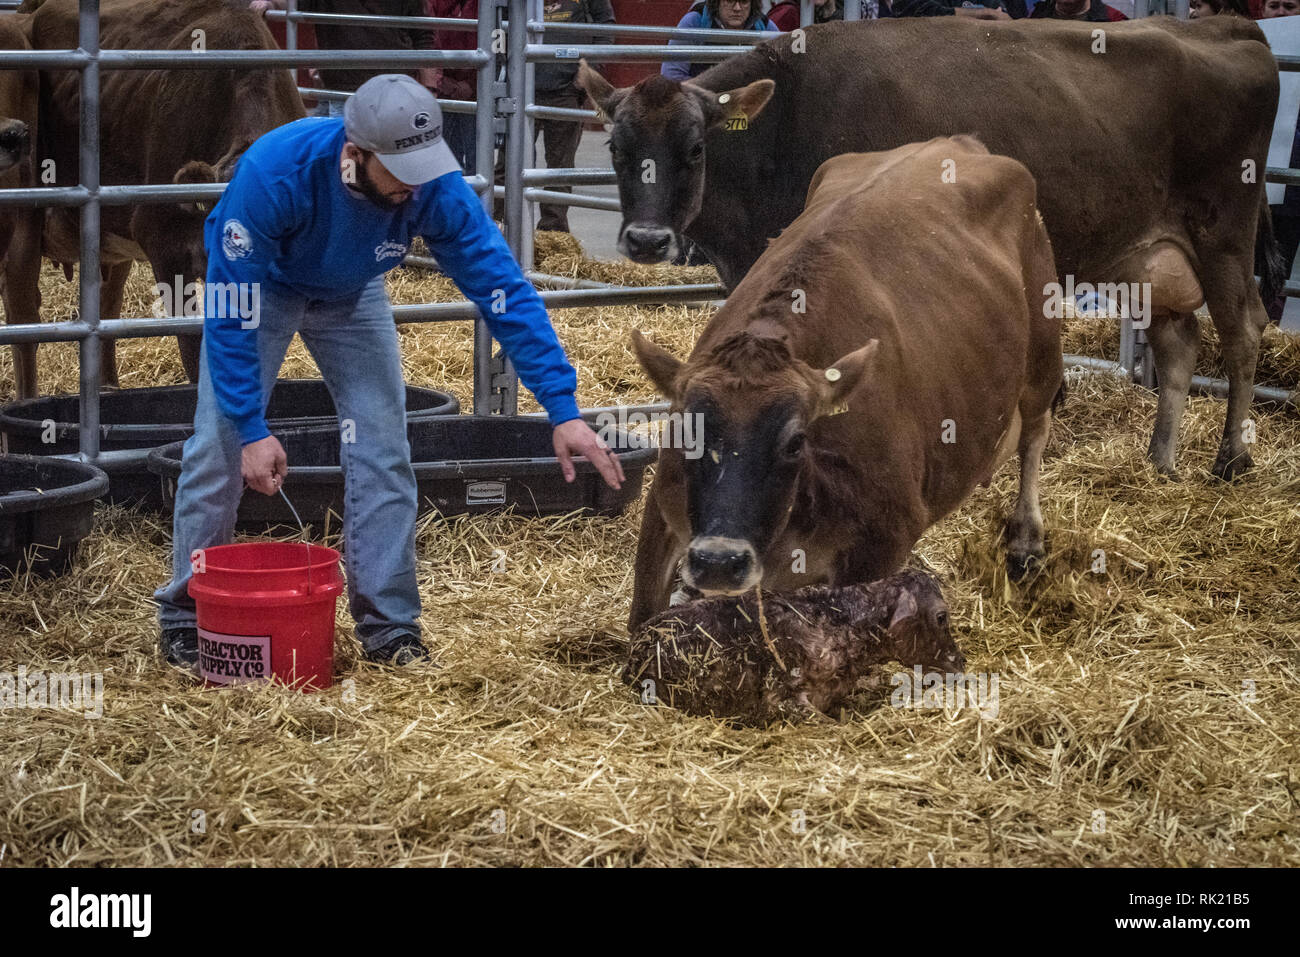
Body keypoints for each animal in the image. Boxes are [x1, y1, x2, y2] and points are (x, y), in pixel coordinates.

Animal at [578, 16, 1284, 481]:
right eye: (616, 147)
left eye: (696, 148)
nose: (647, 239)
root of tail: (1228, 25)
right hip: (1156, 260)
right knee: (1179, 346)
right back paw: (1161, 462)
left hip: (1223, 233)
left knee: (1243, 331)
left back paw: (1231, 459)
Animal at [625, 137, 1063, 630]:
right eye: (688, 432)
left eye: (796, 442)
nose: (720, 561)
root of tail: (953, 141)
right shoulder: (663, 514)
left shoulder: (882, 543)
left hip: (1043, 354)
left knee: (1035, 433)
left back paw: (1026, 541)